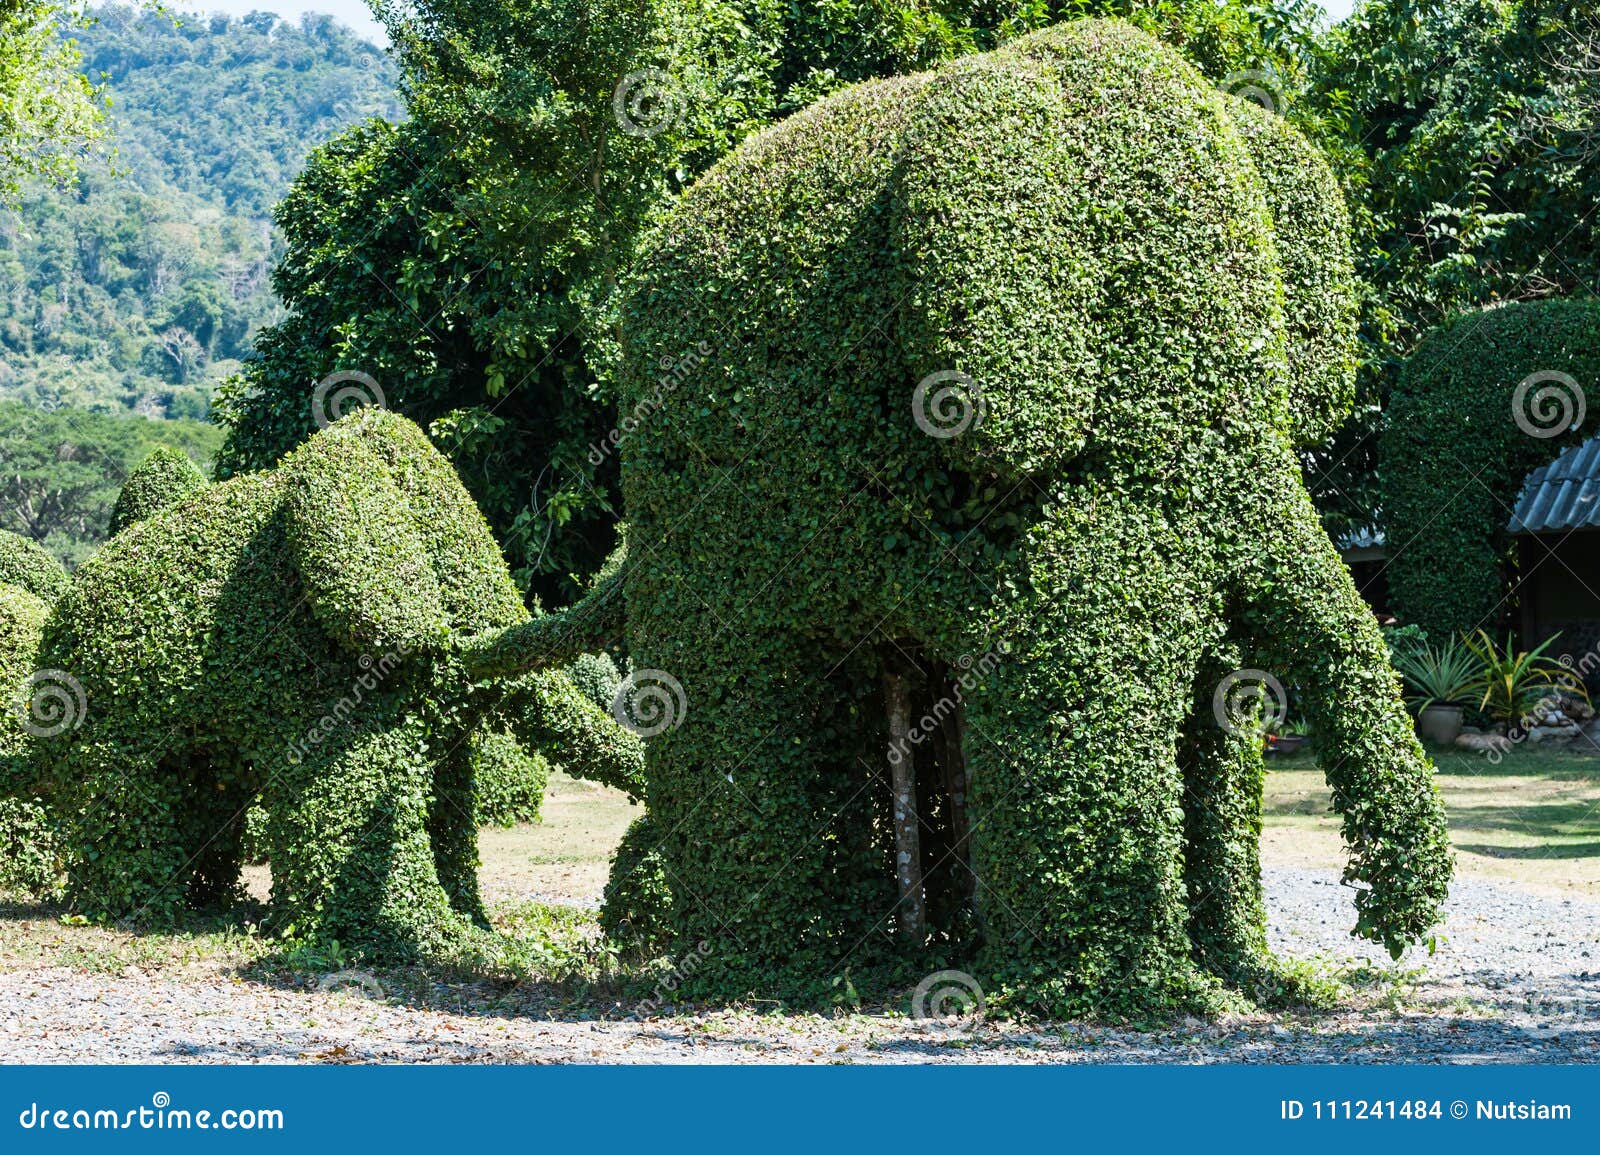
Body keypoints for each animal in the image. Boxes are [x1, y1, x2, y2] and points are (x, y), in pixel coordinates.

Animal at [27, 408, 642, 958]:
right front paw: (427, 939)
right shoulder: (323, 684)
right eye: (445, 567)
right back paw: (138, 909)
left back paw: (210, 907)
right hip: (112, 720)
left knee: (203, 791)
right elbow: (347, 793)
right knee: (130, 805)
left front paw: (472, 930)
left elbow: (447, 798)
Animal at [468, 19, 1452, 1016]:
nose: (1395, 924)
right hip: (702, 516)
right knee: (735, 697)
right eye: (1141, 321)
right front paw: (1128, 991)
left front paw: (1227, 979)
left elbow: (1212, 703)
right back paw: (765, 963)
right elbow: (1075, 670)